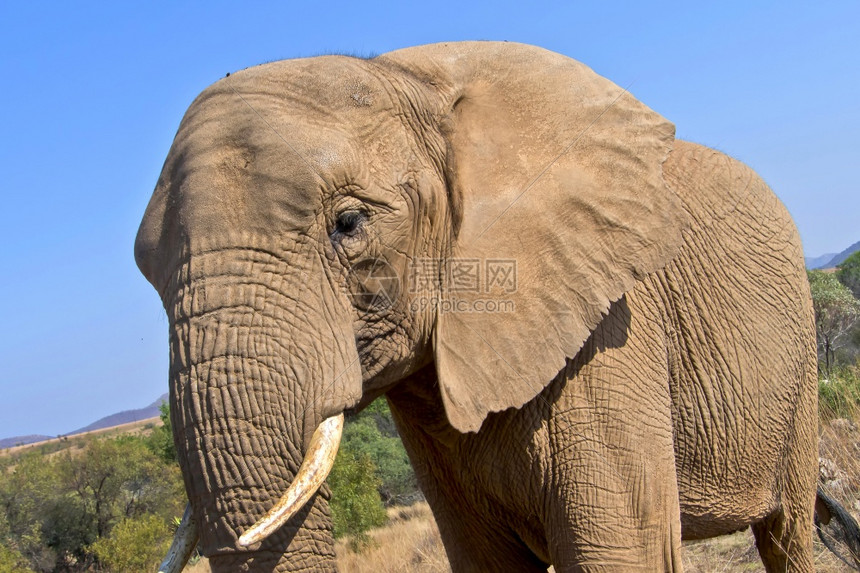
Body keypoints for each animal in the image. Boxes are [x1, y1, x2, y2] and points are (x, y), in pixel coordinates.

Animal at [135, 42, 851, 572]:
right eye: (146, 270)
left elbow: (619, 554)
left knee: (787, 536)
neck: (409, 77)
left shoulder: (608, 333)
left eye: (348, 223)